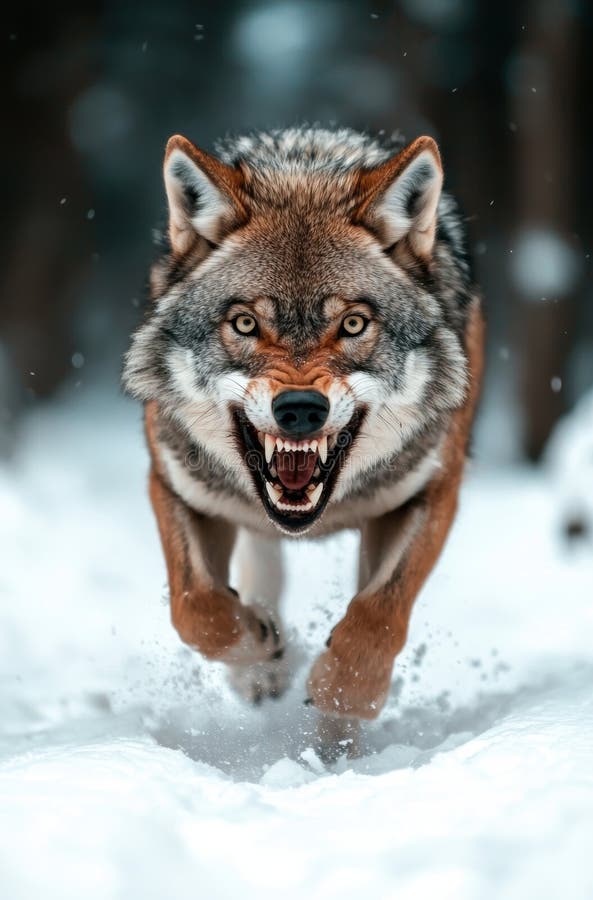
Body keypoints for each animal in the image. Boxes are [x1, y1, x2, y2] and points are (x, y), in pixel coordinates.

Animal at [123, 126, 483, 740]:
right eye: (245, 323)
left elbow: (379, 617)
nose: (298, 410)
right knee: (259, 561)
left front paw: (343, 691)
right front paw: (261, 651)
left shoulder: (434, 491)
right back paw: (265, 667)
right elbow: (196, 607)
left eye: (353, 324)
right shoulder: (175, 486)